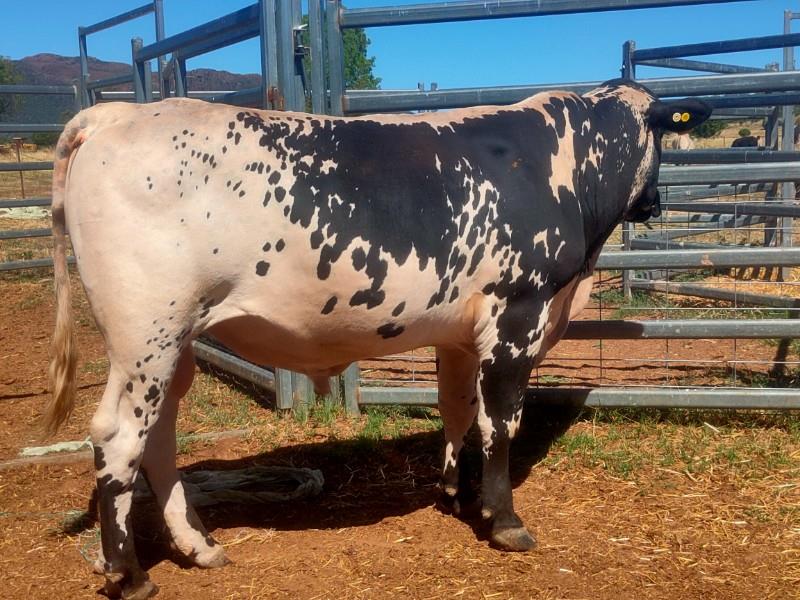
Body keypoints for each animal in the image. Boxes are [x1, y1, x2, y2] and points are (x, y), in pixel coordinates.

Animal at [46, 79, 710, 599]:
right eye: (663, 140)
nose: (655, 203)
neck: (564, 165)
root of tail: (116, 113)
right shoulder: (518, 314)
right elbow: (500, 423)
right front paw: (503, 520)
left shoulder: (460, 332)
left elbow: (456, 408)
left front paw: (452, 492)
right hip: (146, 332)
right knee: (119, 437)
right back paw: (130, 574)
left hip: (175, 342)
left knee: (158, 436)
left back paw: (200, 546)